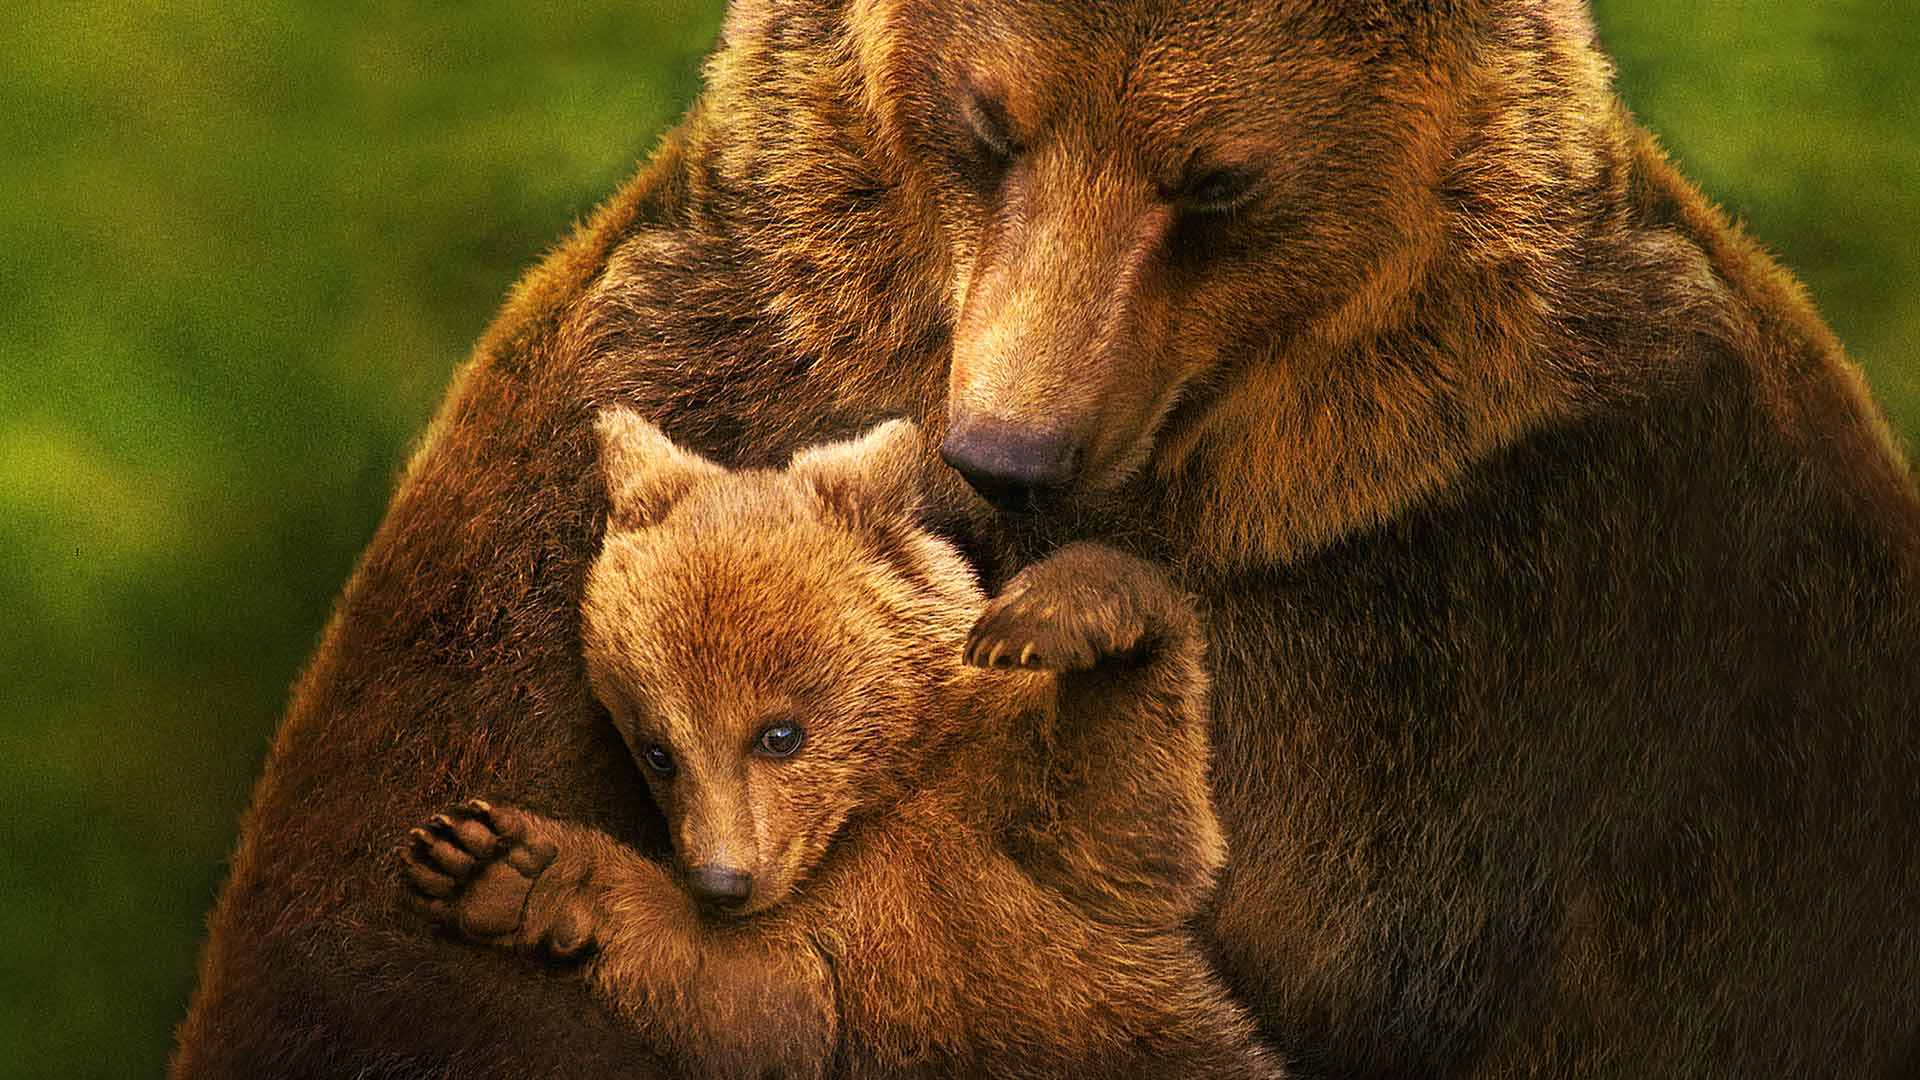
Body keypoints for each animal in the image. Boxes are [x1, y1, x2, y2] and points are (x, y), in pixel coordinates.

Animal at [396, 410, 1284, 1080]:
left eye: (779, 732)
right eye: (658, 751)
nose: (721, 879)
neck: (881, 801)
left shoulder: (1014, 820)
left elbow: (1136, 821)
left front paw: (1056, 611)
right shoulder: (833, 934)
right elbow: (758, 1007)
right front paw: (498, 864)